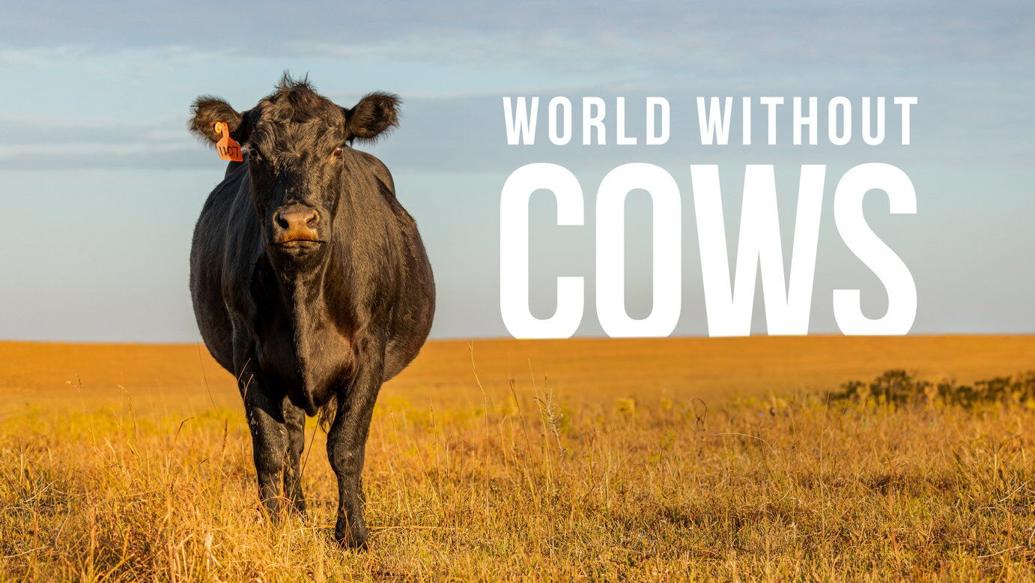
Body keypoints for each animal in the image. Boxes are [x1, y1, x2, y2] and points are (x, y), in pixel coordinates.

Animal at [187, 75, 435, 548]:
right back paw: (296, 512)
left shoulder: (369, 352)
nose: (298, 220)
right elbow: (270, 446)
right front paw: (274, 523)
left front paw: (353, 534)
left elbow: (347, 445)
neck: (304, 291)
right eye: (255, 153)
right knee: (293, 441)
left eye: (336, 149)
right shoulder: (248, 352)